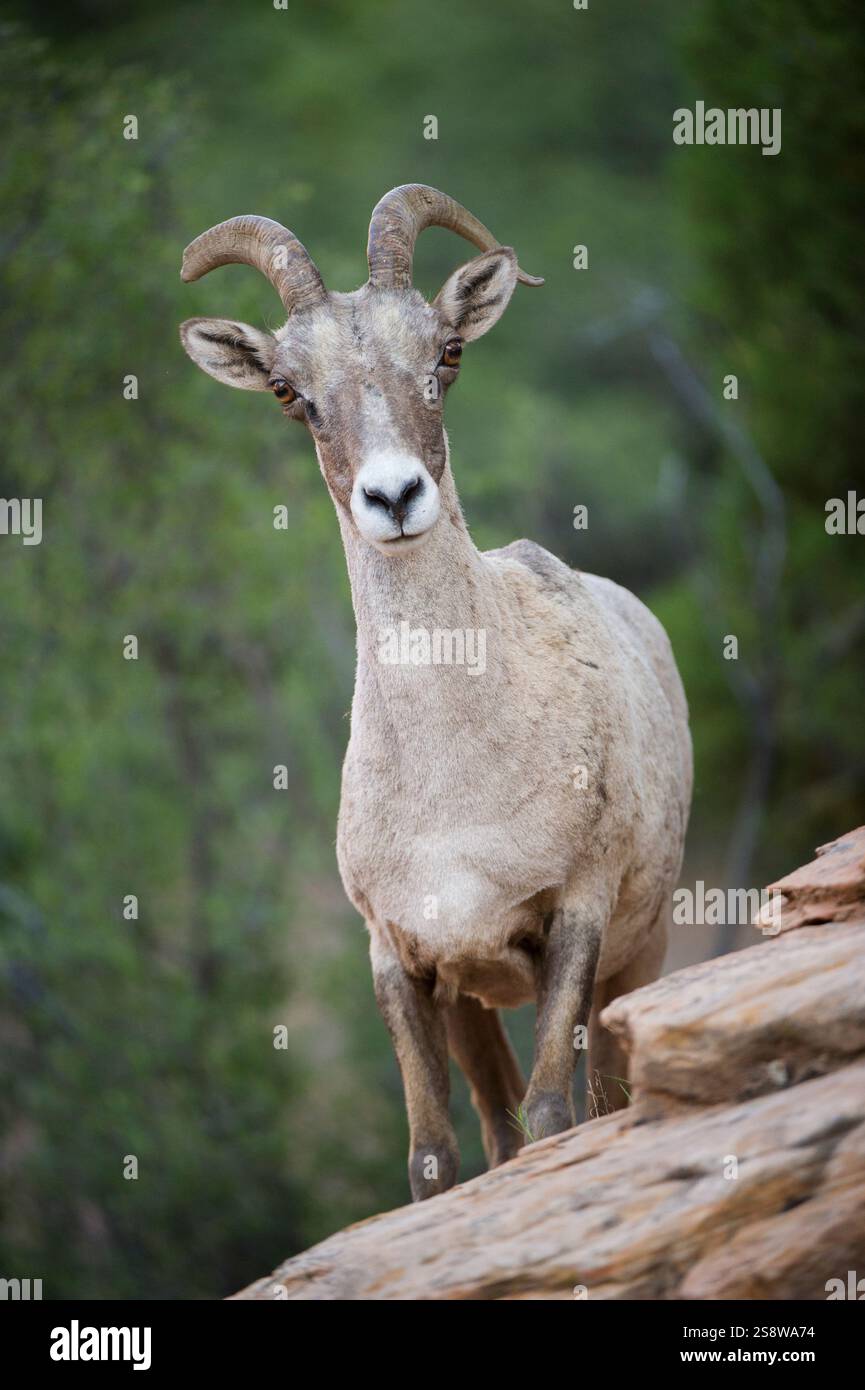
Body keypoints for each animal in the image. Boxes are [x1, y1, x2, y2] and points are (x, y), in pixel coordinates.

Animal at [179, 184, 693, 1200]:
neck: (457, 788)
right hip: (475, 1004)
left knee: (602, 1099)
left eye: (445, 353)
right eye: (289, 393)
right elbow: (435, 1159)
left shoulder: (575, 922)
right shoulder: (407, 960)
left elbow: (550, 1118)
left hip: (636, 962)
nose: (393, 497)